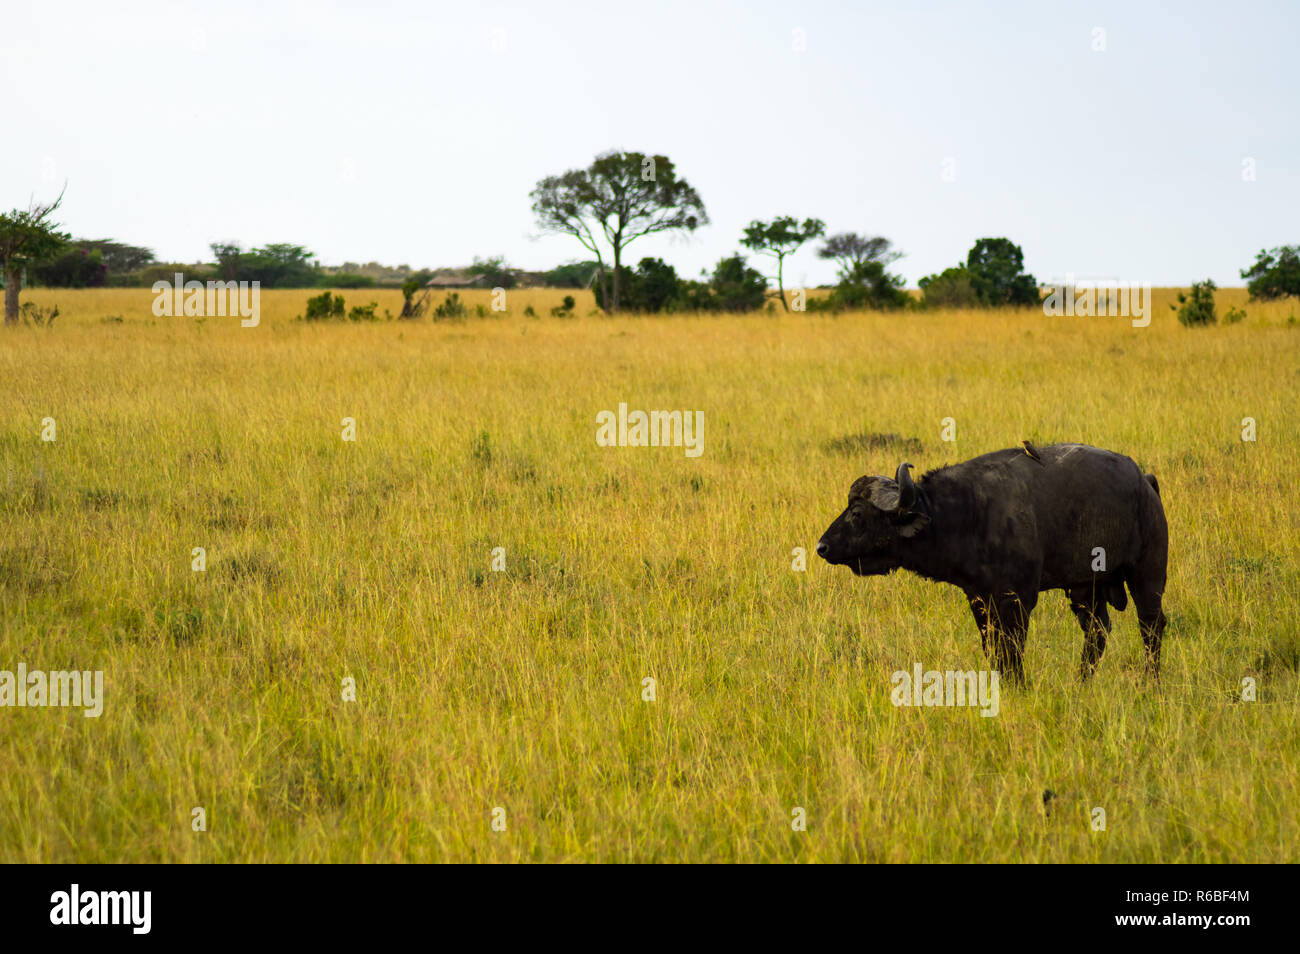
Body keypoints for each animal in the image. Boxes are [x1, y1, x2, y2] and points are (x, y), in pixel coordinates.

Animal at [817, 443, 1168, 683]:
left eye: (857, 513)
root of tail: (1146, 482)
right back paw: (1081, 682)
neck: (968, 512)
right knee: (1097, 631)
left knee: (1151, 626)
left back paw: (1150, 684)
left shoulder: (1017, 600)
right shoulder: (979, 600)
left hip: (1147, 576)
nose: (822, 546)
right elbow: (994, 650)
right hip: (1084, 588)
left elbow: (1011, 649)